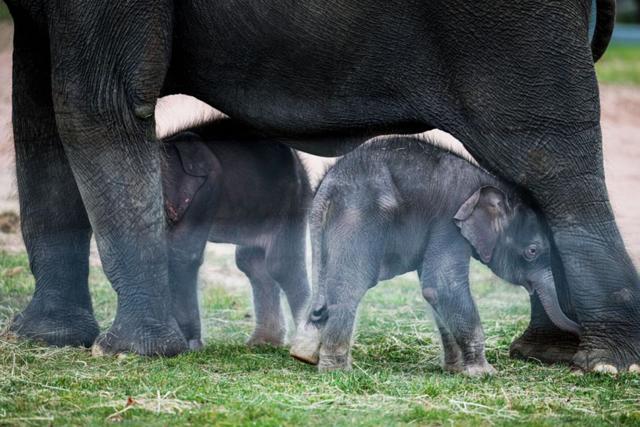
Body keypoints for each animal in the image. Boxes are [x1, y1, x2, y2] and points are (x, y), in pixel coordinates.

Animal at [290, 136, 581, 375]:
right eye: (532, 251)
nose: (579, 328)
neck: (487, 182)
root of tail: (326, 189)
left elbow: (434, 294)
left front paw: (456, 370)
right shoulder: (449, 222)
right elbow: (442, 287)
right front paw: (484, 373)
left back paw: (305, 355)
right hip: (358, 219)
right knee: (349, 288)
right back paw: (338, 371)